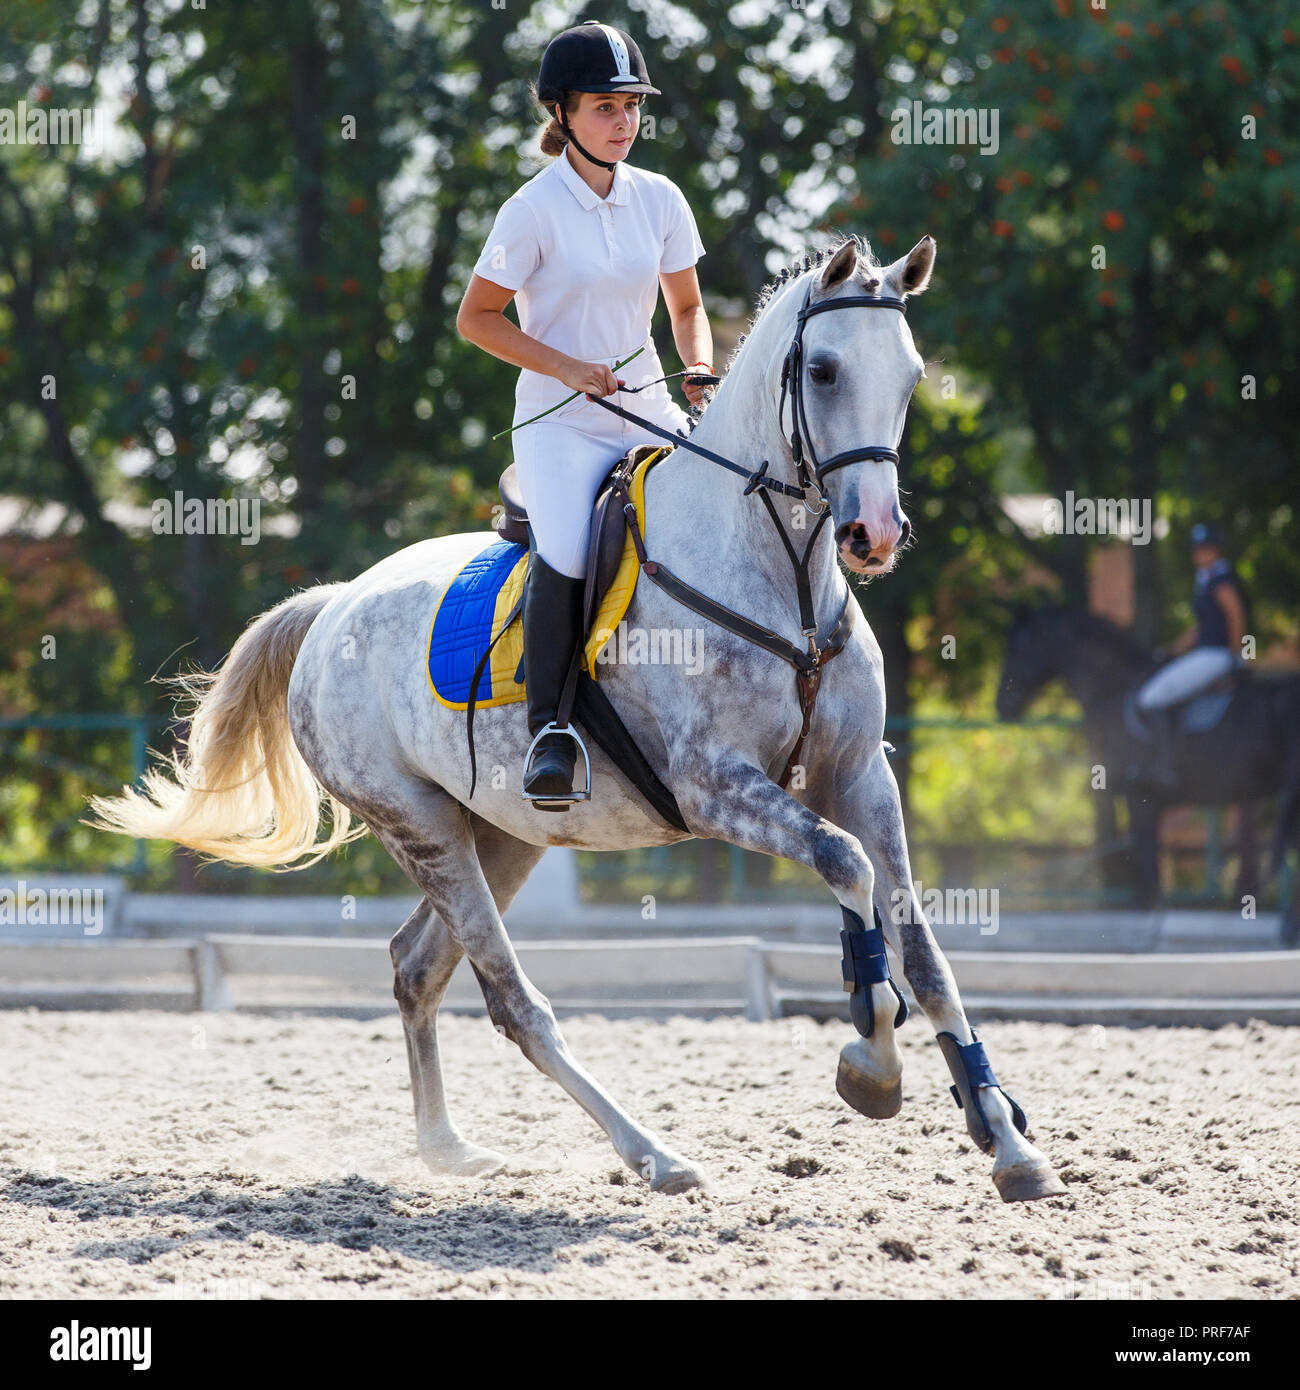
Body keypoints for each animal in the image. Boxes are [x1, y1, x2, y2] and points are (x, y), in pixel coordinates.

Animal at [89, 235, 1066, 1203]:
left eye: (911, 374)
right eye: (823, 371)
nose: (874, 534)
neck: (779, 576)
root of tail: (333, 607)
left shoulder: (860, 775)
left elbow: (921, 946)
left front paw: (1005, 1137)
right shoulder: (716, 786)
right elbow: (845, 863)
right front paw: (872, 1061)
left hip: (503, 834)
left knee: (416, 967)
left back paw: (449, 1148)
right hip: (422, 826)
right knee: (512, 1000)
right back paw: (654, 1154)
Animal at [997, 605, 1300, 939]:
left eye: (1016, 648)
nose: (1001, 705)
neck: (1113, 690)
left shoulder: (1139, 795)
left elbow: (1147, 862)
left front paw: (1149, 922)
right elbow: (1147, 858)